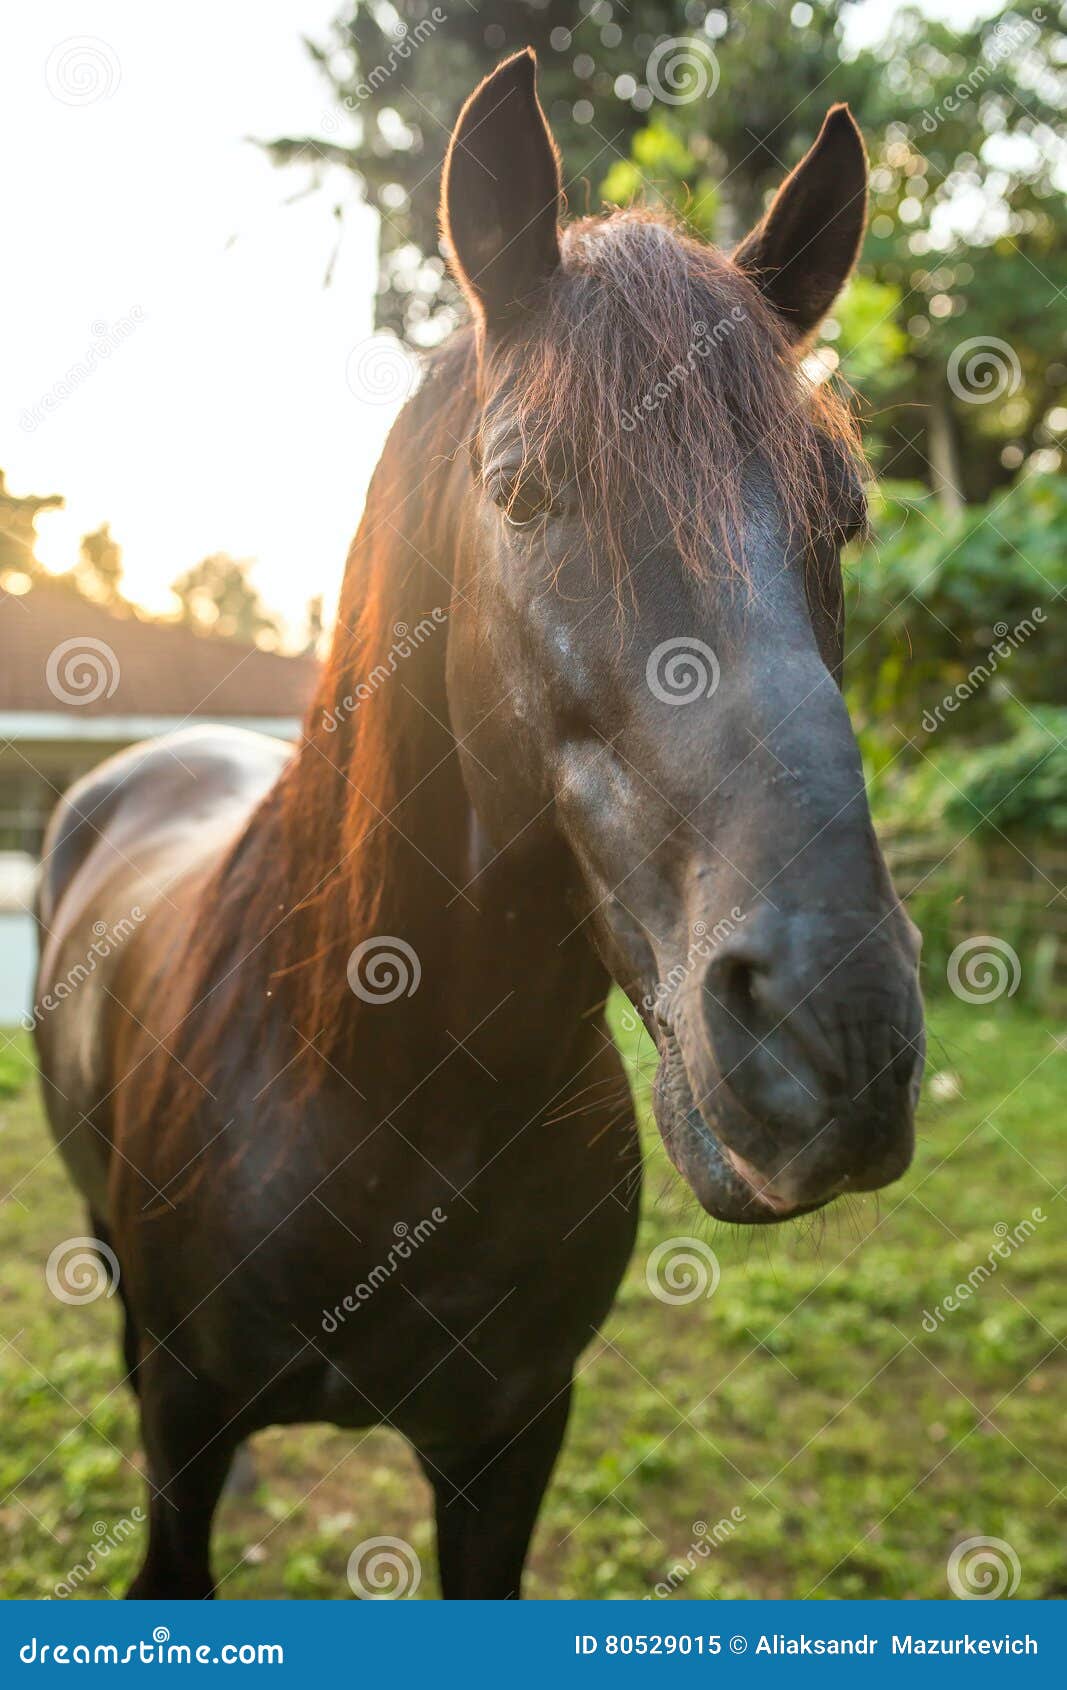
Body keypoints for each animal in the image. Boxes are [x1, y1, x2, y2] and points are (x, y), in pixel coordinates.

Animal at [34, 50, 924, 1599]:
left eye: (845, 512)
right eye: (518, 488)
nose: (840, 1031)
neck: (381, 1079)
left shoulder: (507, 1442)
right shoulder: (183, 1438)